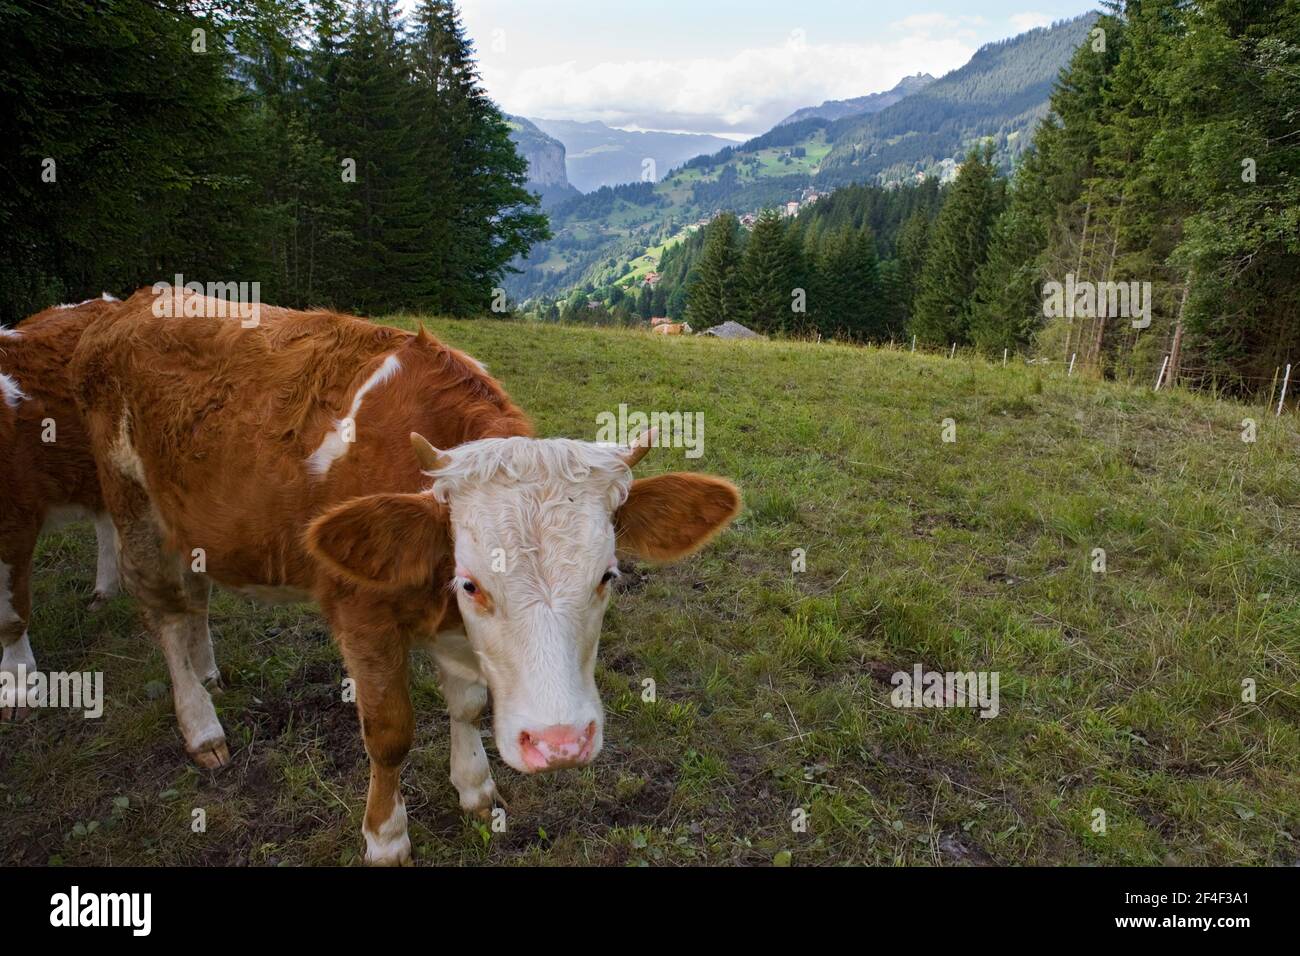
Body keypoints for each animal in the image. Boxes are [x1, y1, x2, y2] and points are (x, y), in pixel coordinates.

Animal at [72, 286, 741, 865]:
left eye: (608, 576)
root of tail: (134, 302)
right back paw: (201, 724)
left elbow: (468, 704)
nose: (560, 744)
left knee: (194, 598)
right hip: (132, 503)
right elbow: (390, 732)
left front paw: (476, 789)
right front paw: (386, 836)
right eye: (472, 583)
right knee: (165, 613)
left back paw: (208, 668)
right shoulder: (360, 611)